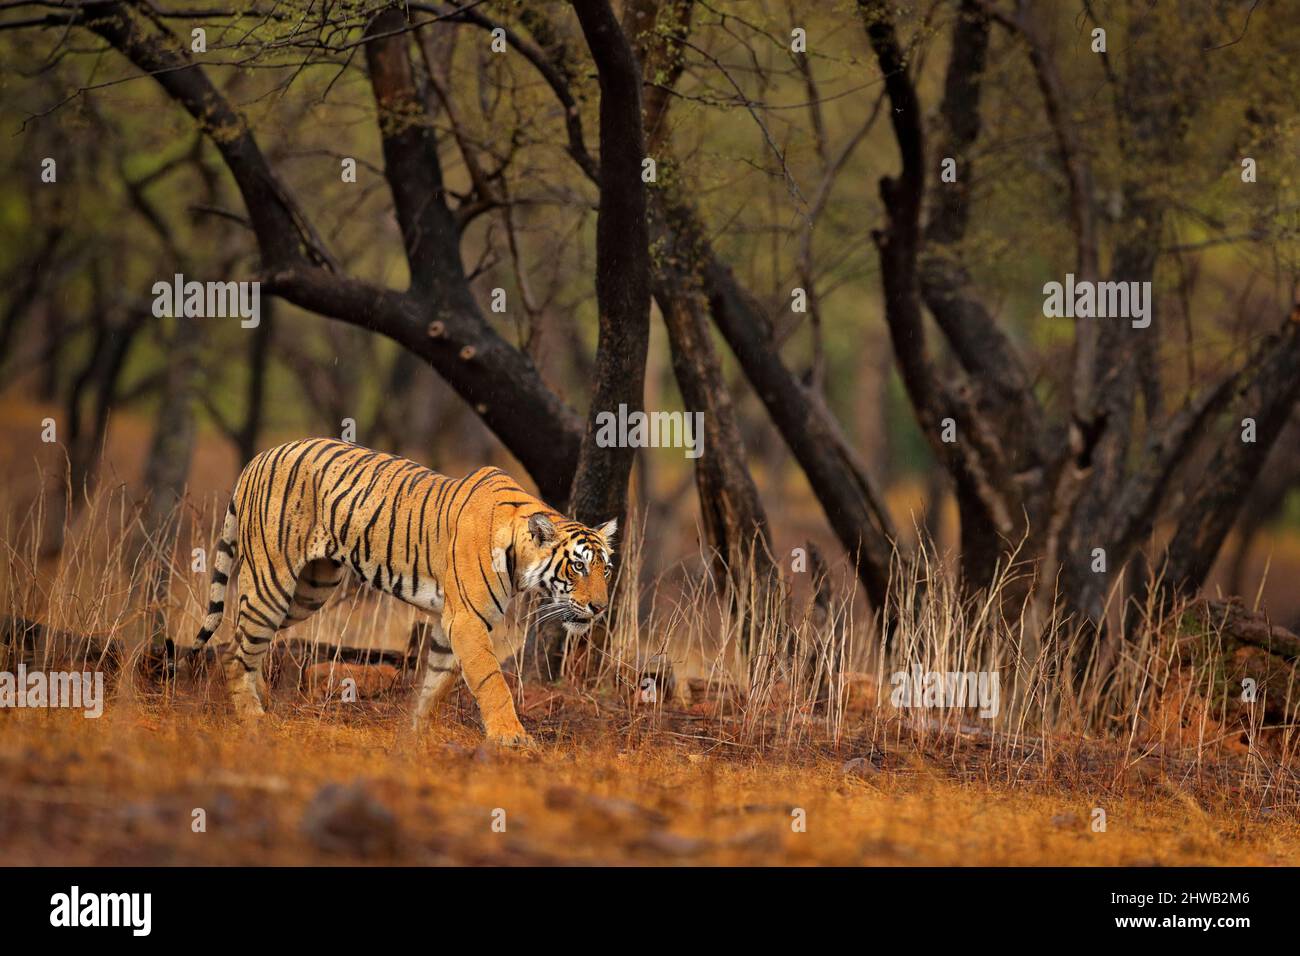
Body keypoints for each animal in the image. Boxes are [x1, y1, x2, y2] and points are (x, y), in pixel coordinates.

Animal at [175, 437, 616, 747]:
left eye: (605, 569)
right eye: (578, 566)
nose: (599, 607)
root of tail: (260, 455)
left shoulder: (450, 623)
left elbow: (436, 682)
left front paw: (415, 733)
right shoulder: (468, 619)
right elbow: (491, 680)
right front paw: (511, 736)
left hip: (309, 590)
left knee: (242, 641)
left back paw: (261, 699)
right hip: (273, 579)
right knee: (235, 647)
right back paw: (252, 717)